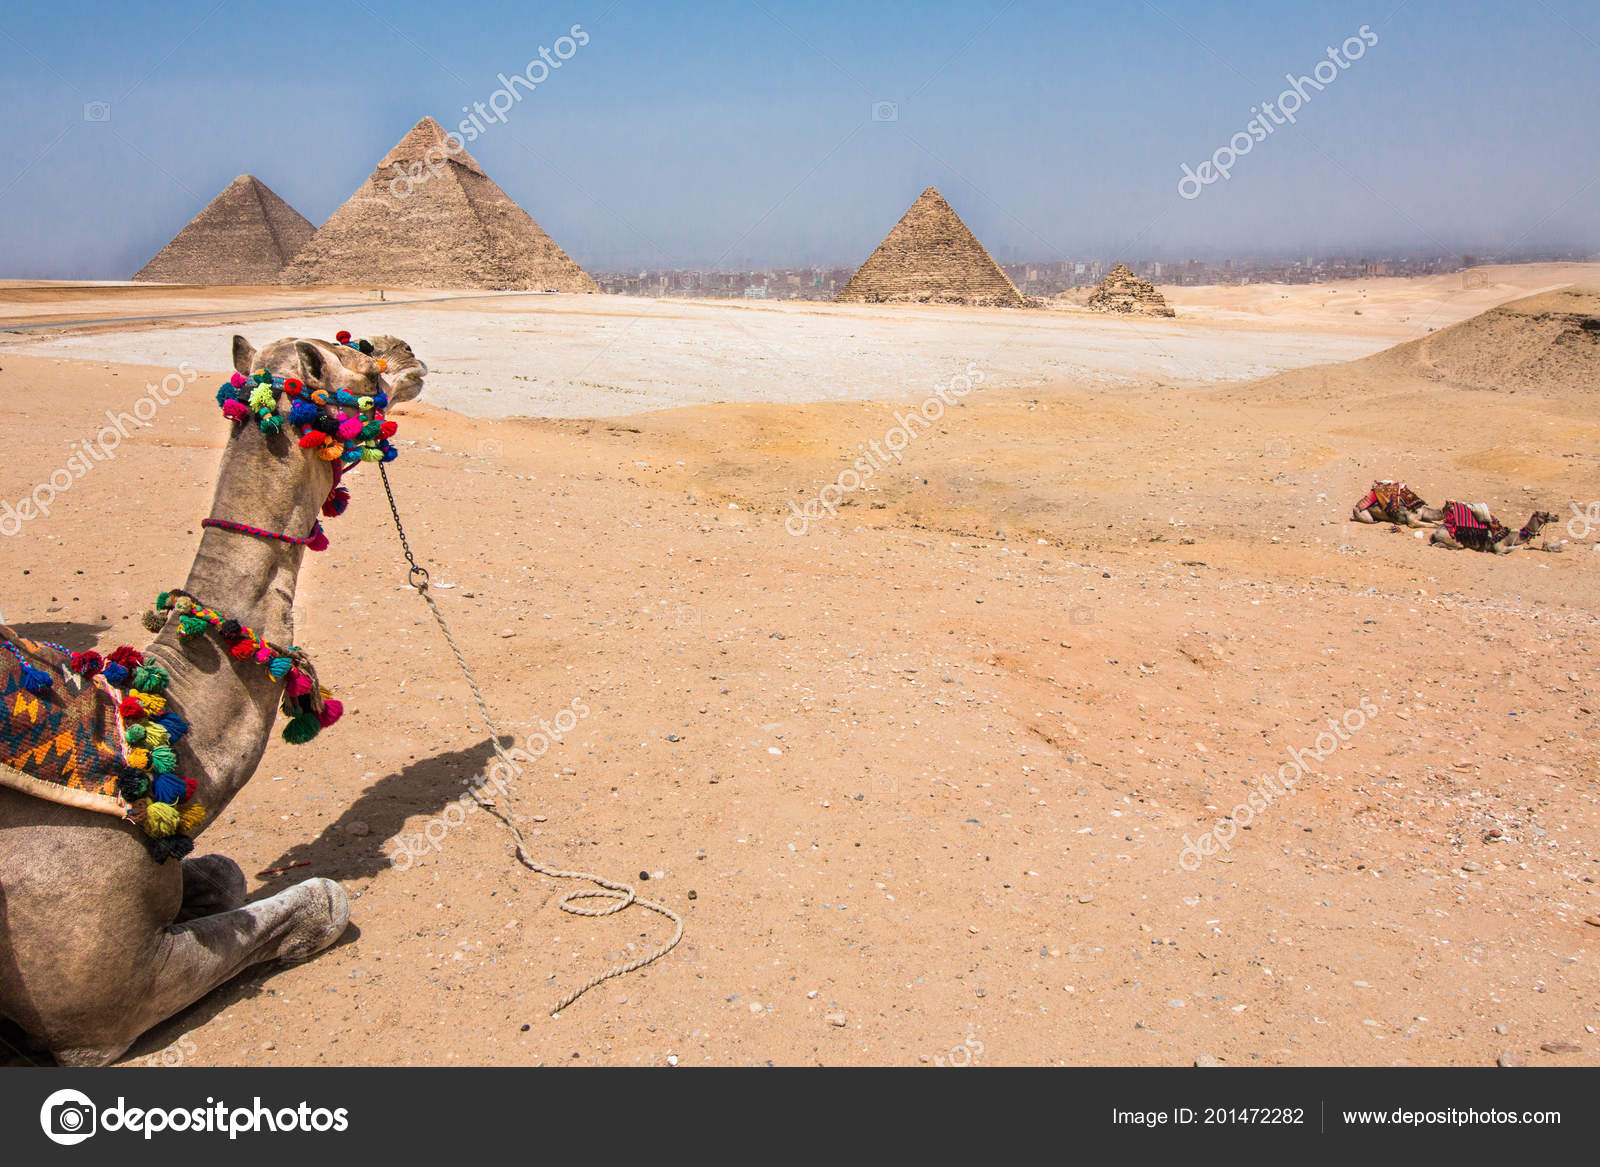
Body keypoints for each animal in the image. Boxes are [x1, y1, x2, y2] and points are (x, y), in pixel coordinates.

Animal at [1429, 502, 1561, 553]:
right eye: (1544, 514)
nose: (1557, 516)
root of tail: (1435, 532)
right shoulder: (1499, 547)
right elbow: (1516, 548)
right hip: (1455, 541)